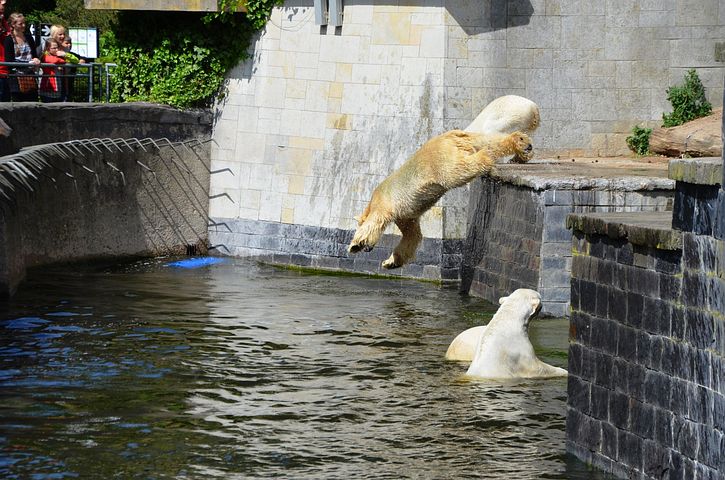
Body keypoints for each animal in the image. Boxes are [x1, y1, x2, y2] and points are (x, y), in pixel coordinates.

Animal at [348, 130, 533, 269]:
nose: (368, 250)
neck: (372, 202)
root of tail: (450, 135)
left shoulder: (384, 204)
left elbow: (375, 221)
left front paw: (355, 245)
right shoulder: (406, 216)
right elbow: (412, 236)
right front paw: (390, 262)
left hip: (440, 161)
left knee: (459, 169)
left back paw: (486, 157)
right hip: (466, 141)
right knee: (489, 140)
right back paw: (522, 142)